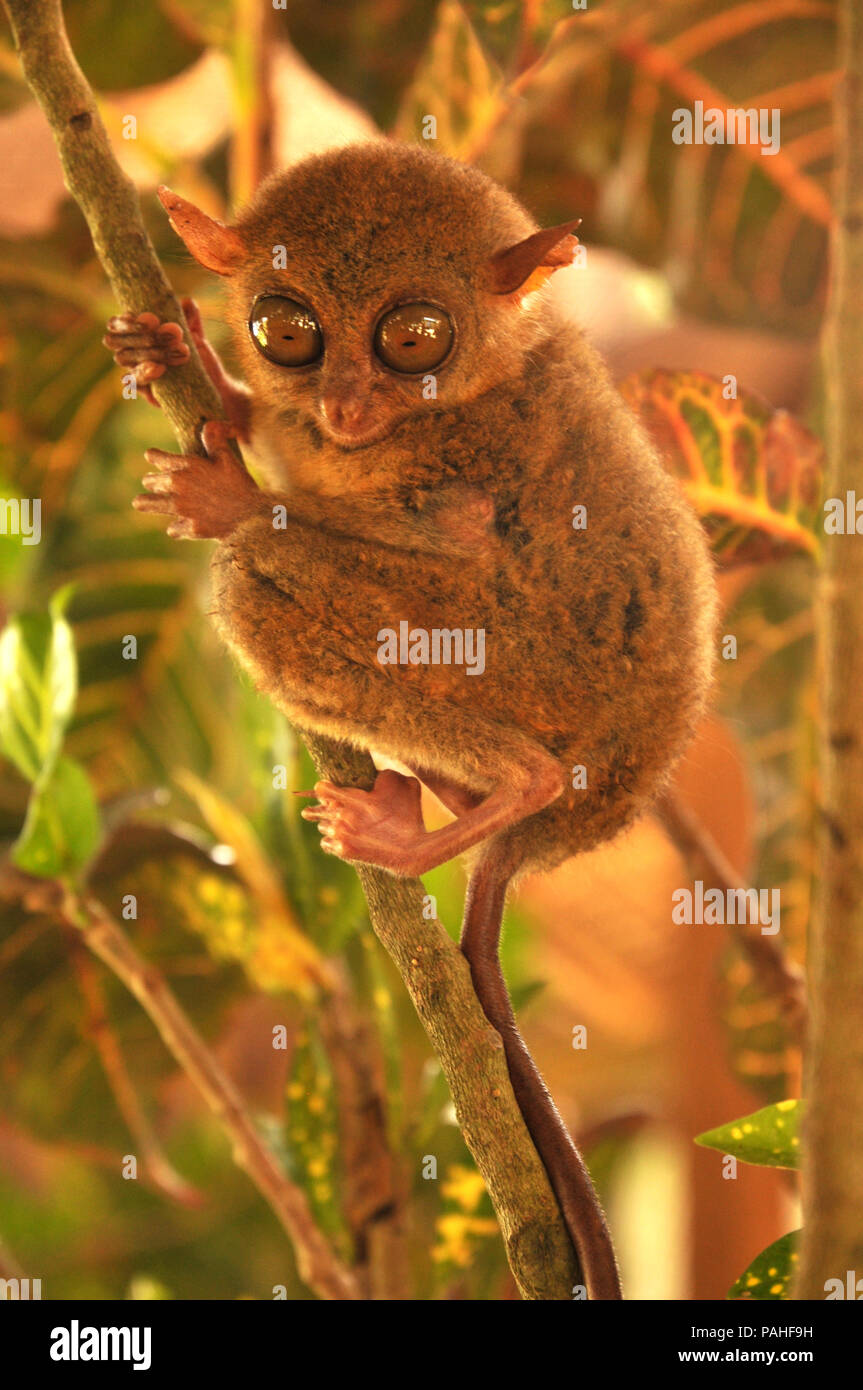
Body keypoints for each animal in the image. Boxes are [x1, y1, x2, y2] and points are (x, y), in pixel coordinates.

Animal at [104, 141, 717, 1301]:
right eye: (287, 332)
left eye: (412, 341)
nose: (344, 404)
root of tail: (570, 827)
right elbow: (272, 430)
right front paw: (193, 365)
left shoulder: (472, 458)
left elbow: (440, 535)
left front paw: (224, 495)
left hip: (517, 665)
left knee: (256, 589)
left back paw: (456, 805)